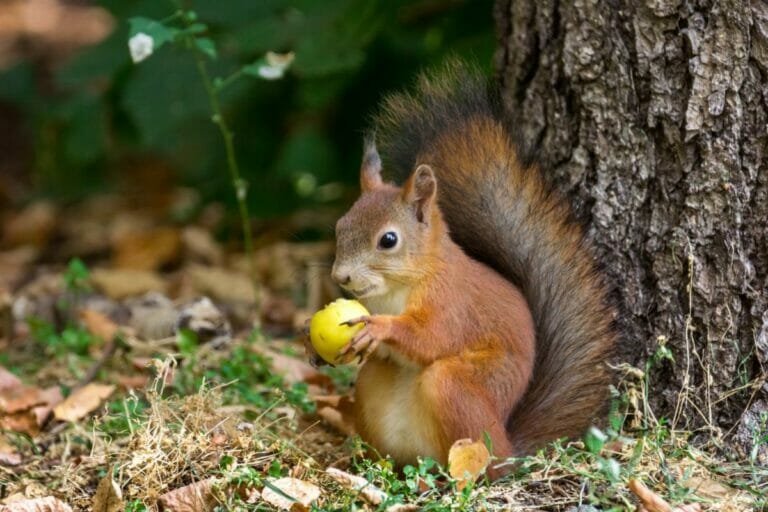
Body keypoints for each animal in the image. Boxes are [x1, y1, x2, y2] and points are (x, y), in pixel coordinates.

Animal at [310, 60, 616, 476]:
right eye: (341, 226)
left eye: (388, 240)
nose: (341, 277)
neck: (400, 287)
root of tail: (511, 449)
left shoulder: (451, 301)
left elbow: (432, 337)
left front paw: (380, 328)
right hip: (376, 391)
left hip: (457, 389)